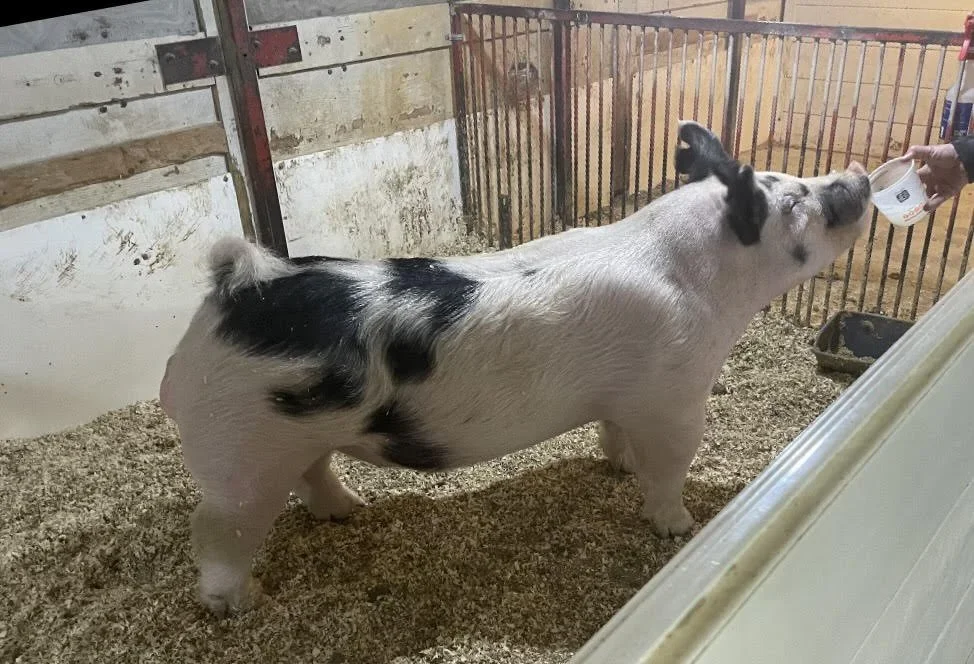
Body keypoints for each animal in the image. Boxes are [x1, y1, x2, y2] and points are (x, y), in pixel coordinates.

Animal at [159, 120, 871, 616]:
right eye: (795, 203)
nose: (858, 176)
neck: (704, 282)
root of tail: (230, 296)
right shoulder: (676, 396)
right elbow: (670, 467)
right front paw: (678, 527)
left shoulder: (626, 399)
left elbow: (614, 433)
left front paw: (617, 467)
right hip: (239, 454)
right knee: (214, 530)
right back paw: (239, 605)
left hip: (293, 432)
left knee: (313, 477)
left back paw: (351, 511)